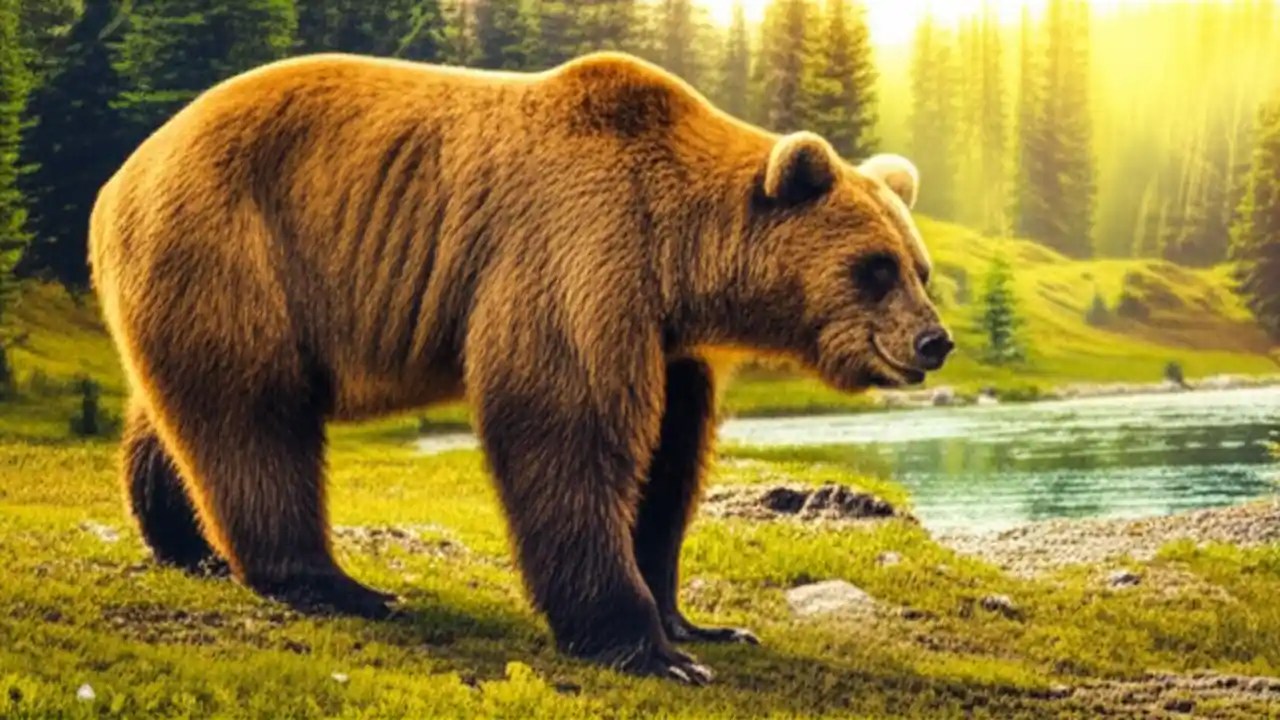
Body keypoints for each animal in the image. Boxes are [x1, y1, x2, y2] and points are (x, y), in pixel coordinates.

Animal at [89, 51, 952, 683]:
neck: (675, 253)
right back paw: (337, 584)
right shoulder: (577, 251)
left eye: (920, 268)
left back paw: (185, 540)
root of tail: (120, 176)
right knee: (256, 419)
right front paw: (651, 650)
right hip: (236, 246)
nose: (933, 341)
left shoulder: (667, 342)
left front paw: (701, 622)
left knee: (178, 414)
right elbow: (567, 431)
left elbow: (668, 466)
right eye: (874, 268)